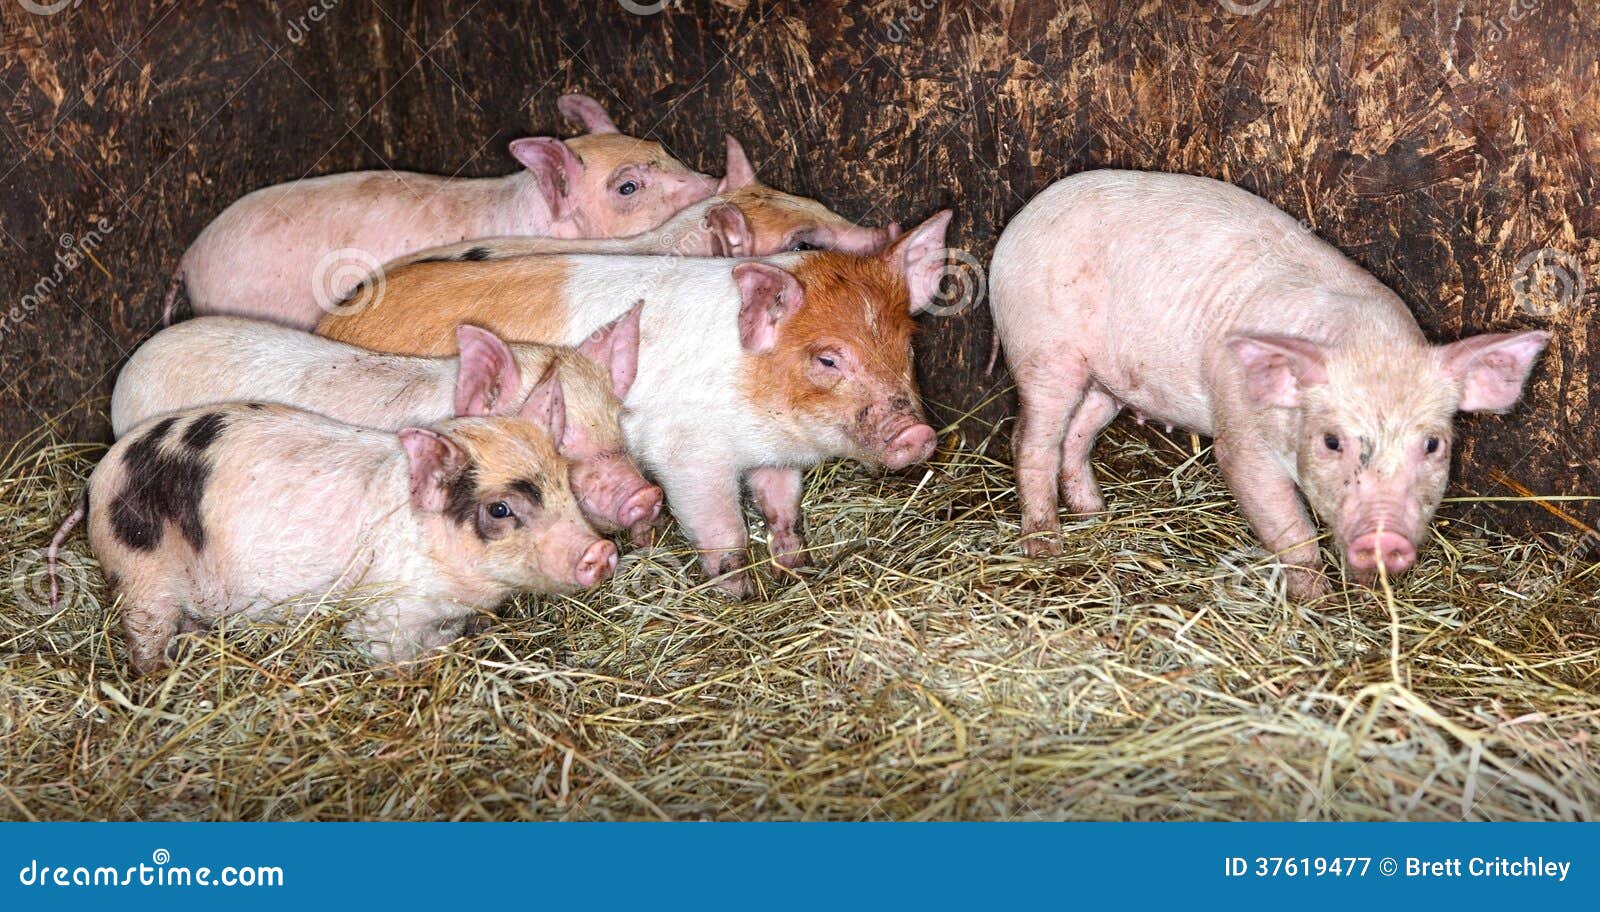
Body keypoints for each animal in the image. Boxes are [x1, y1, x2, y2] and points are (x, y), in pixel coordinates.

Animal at [81, 398, 616, 674]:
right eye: (500, 509)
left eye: (566, 485)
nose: (603, 550)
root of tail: (102, 473)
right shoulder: (387, 612)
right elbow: (387, 657)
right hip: (140, 574)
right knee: (146, 636)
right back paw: (159, 678)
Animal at [315, 213, 955, 595]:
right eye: (827, 360)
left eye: (908, 345)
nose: (919, 435)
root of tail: (332, 315)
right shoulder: (689, 455)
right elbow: (722, 529)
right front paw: (740, 595)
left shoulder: (774, 458)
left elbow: (783, 510)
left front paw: (797, 568)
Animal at [990, 170, 1551, 598]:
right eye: (1332, 441)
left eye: (1433, 444)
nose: (1385, 539)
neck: (1367, 343)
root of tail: (1019, 222)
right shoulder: (1240, 434)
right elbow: (1291, 530)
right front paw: (1316, 603)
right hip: (1043, 350)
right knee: (1032, 440)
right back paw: (1044, 544)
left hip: (1108, 380)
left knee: (1078, 434)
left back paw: (1096, 512)